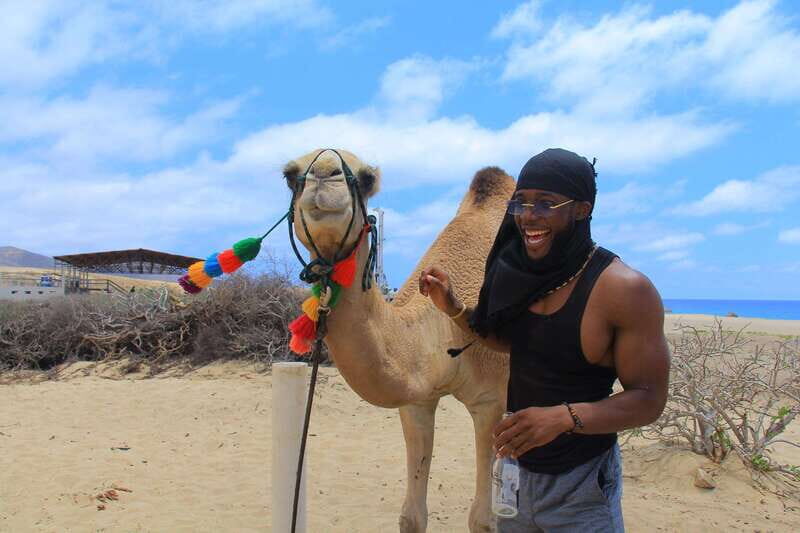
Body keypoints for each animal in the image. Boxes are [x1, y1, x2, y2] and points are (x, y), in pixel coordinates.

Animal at [282, 148, 515, 532]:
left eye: (366, 178)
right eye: (289, 175)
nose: (325, 175)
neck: (441, 330)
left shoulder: (489, 402)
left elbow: (483, 519)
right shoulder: (416, 401)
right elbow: (412, 515)